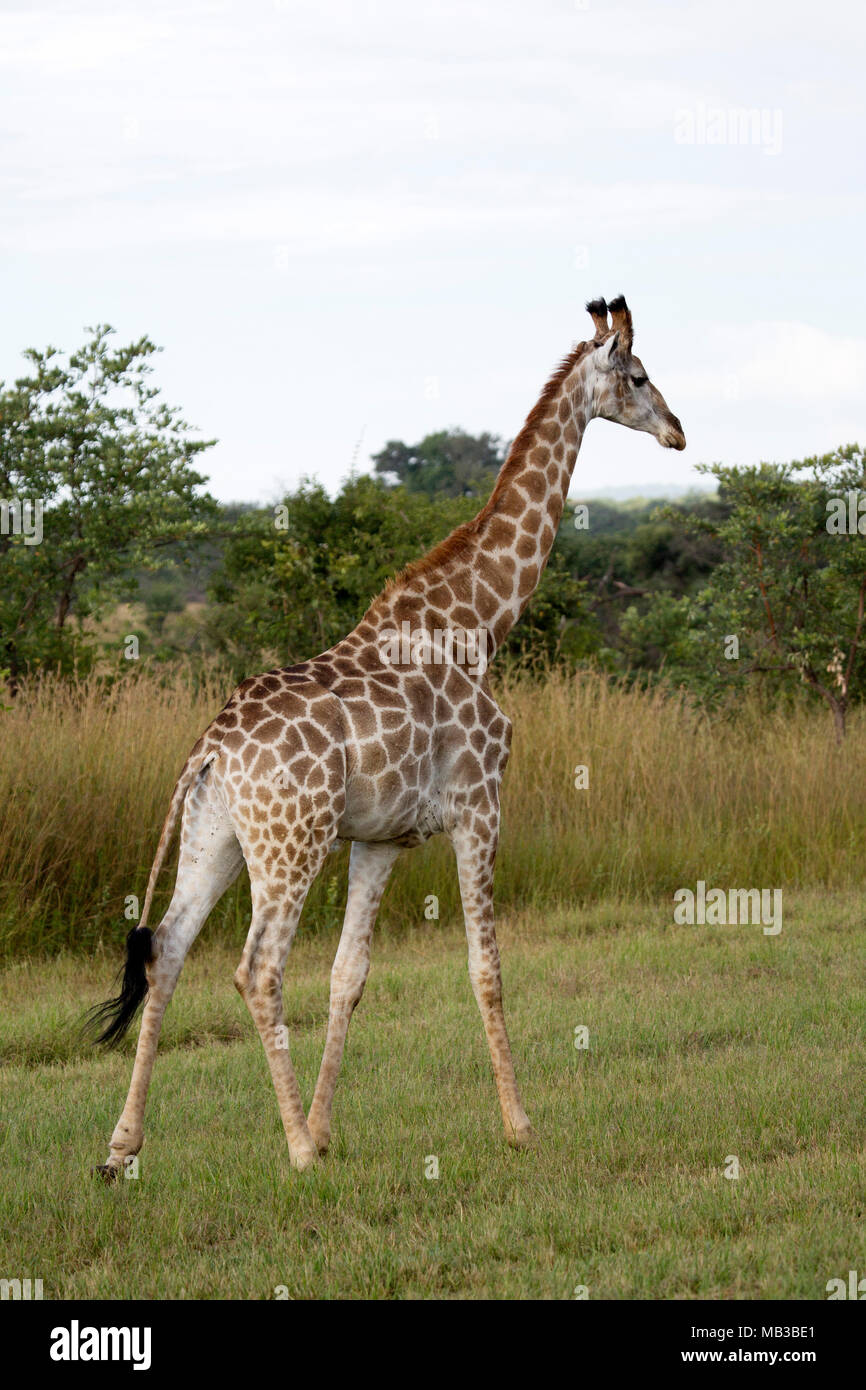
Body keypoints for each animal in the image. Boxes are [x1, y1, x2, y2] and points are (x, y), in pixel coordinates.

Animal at [90, 296, 685, 1177]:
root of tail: (211, 749)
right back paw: (294, 1152)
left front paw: (330, 1125)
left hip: (216, 837)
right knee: (256, 970)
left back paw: (123, 1148)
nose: (678, 431)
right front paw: (519, 1125)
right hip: (291, 842)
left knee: (165, 950)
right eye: (639, 375)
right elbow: (486, 968)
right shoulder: (480, 805)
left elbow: (350, 976)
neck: (479, 623)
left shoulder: (380, 840)